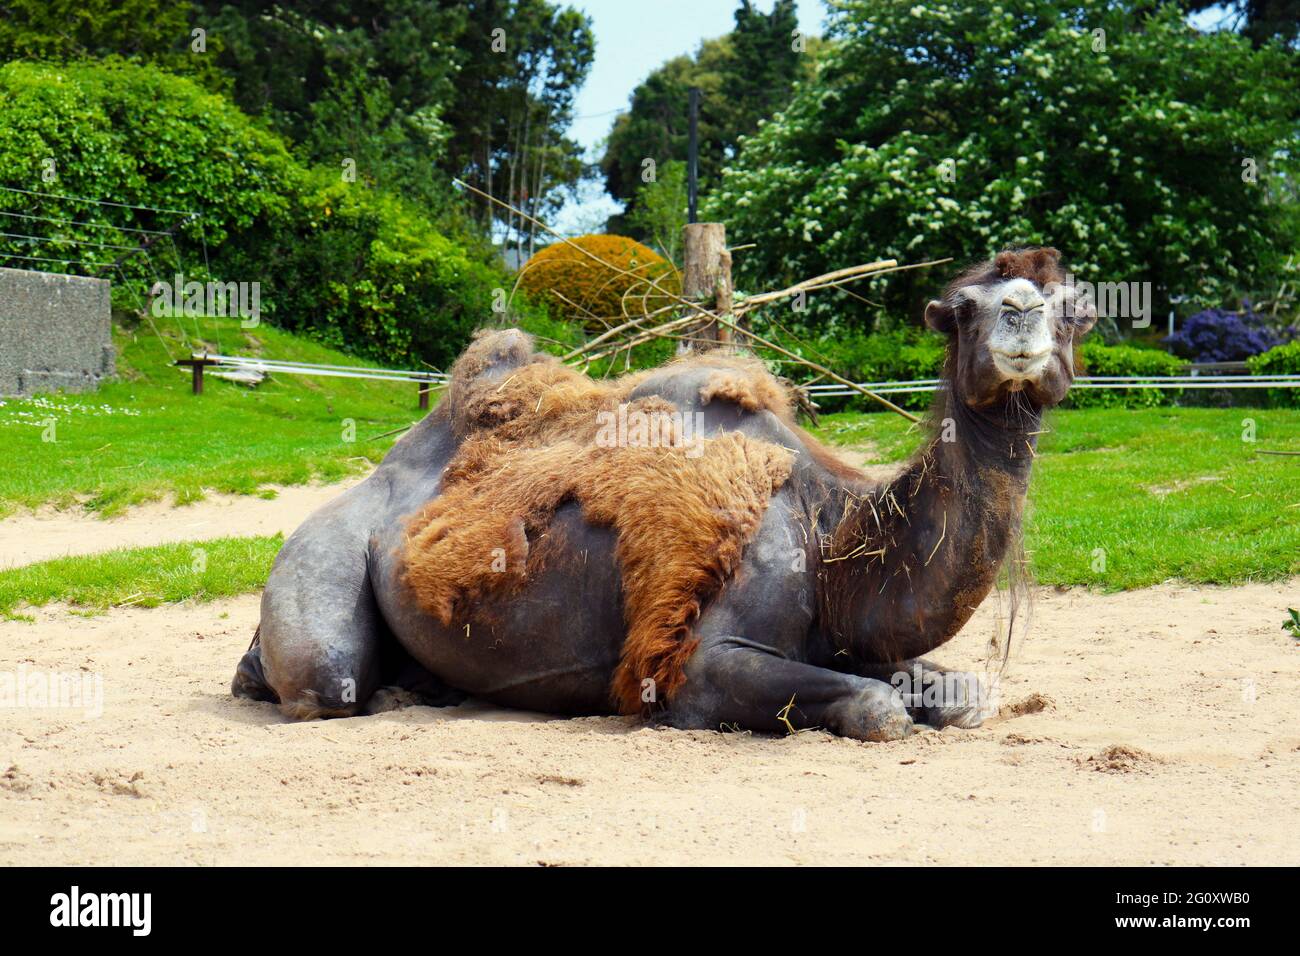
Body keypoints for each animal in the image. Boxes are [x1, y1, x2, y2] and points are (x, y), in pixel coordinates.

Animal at [231, 246, 1095, 741]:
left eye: (1073, 308)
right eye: (963, 310)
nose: (1021, 316)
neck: (832, 534)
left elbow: (962, 691)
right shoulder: (696, 663)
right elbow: (878, 710)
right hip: (323, 552)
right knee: (325, 675)